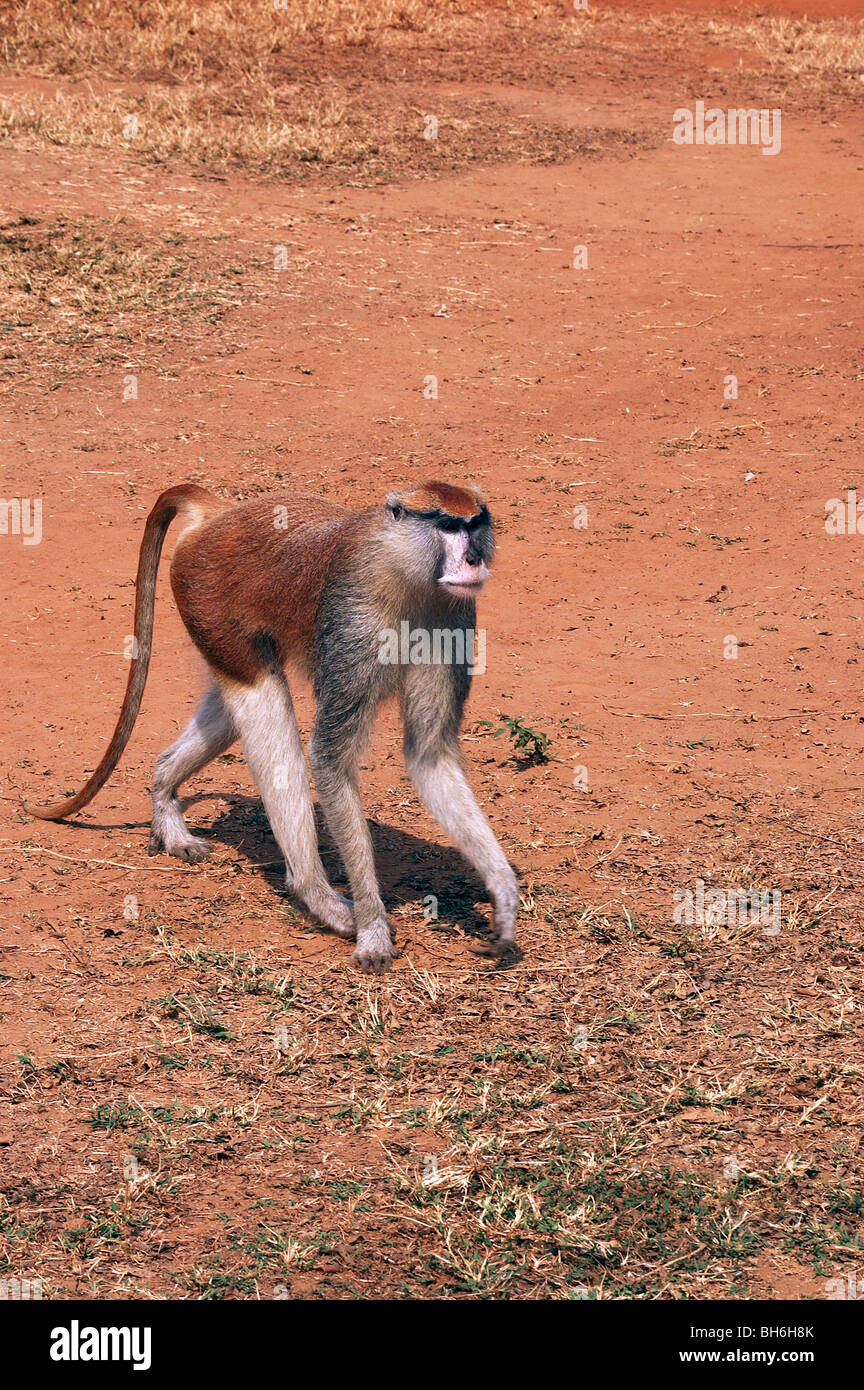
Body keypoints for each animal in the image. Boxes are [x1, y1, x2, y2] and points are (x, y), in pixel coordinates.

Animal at [24, 481, 519, 973]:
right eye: (447, 526)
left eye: (474, 525)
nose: (472, 559)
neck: (404, 571)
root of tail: (218, 515)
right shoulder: (354, 624)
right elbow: (329, 758)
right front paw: (372, 928)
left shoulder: (453, 621)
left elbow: (429, 754)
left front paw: (503, 894)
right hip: (206, 598)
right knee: (266, 705)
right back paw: (316, 895)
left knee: (233, 713)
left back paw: (165, 791)